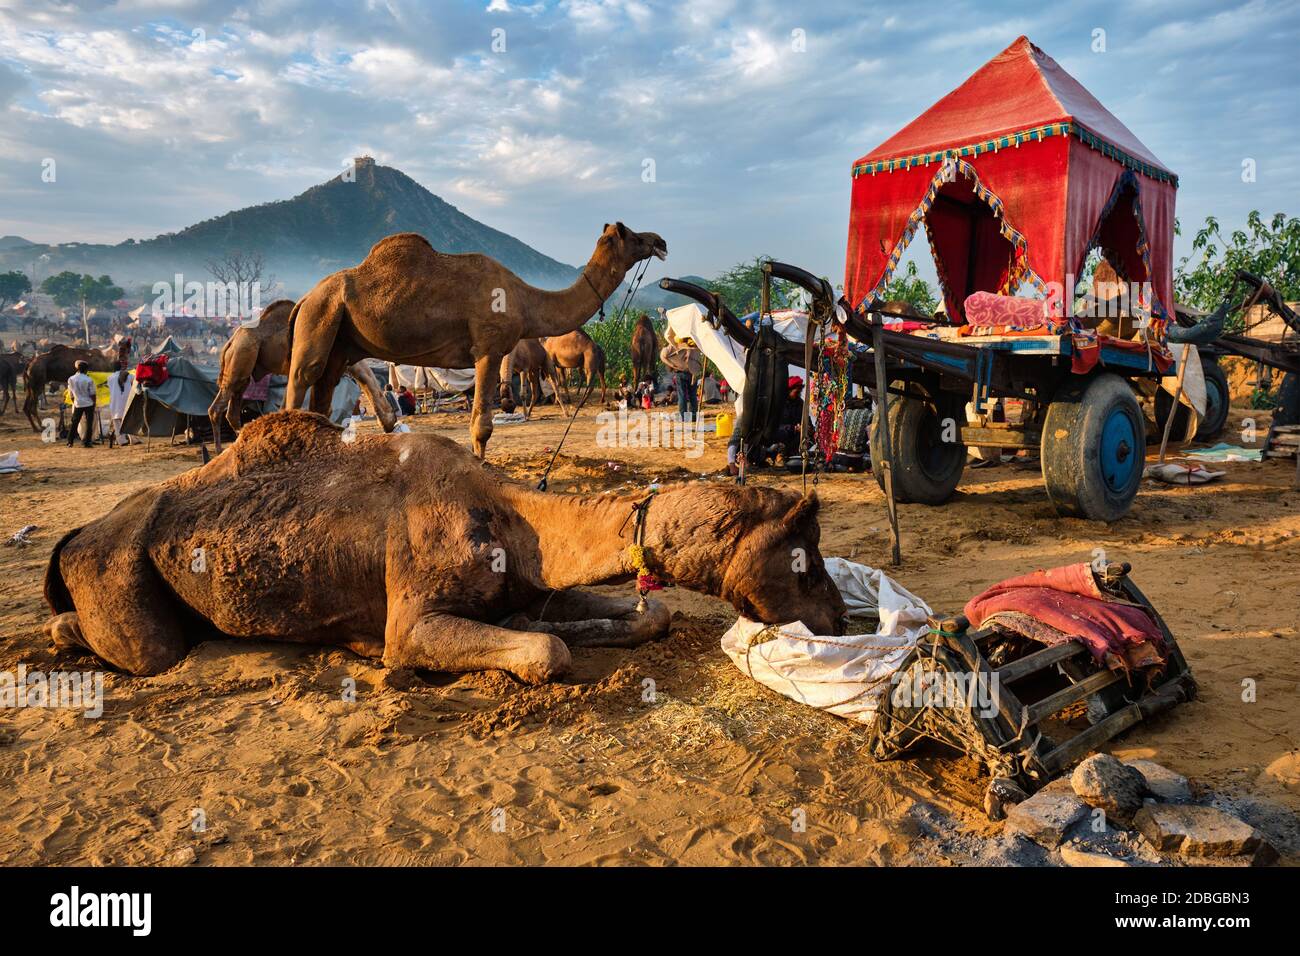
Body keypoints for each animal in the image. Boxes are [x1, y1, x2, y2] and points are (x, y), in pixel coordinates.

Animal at [44, 410, 845, 680]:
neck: (513, 517)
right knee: (142, 648)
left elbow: (646, 613)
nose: (841, 618)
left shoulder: (529, 581)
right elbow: (545, 653)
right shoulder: (416, 617)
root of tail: (75, 535)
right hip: (116, 568)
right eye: (802, 561)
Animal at [208, 299, 397, 453]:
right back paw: (219, 450)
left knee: (234, 406)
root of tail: (230, 342)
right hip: (242, 354)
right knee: (219, 405)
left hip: (244, 363)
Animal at [281, 223, 665, 458]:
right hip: (319, 316)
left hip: (339, 337)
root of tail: (304, 298)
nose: (660, 240)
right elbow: (481, 427)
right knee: (302, 377)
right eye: (632, 235)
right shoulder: (488, 349)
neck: (524, 299)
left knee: (324, 388)